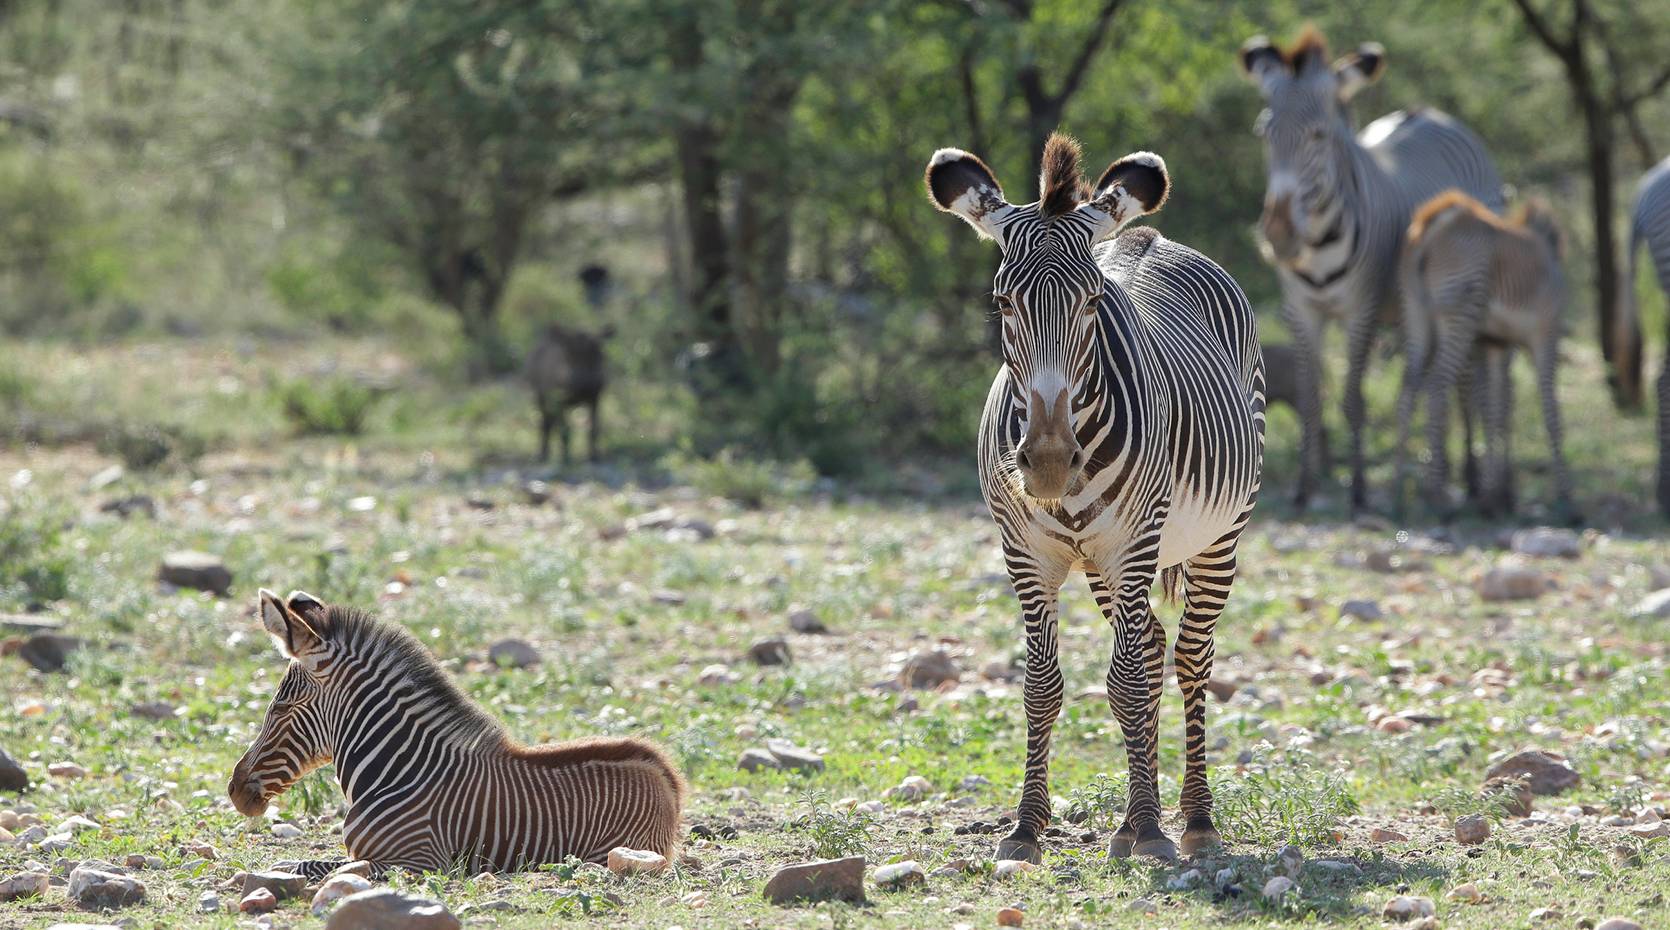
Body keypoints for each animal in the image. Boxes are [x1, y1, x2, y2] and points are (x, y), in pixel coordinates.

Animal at [229, 589, 685, 879]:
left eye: (280, 708)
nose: (234, 790)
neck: (400, 773)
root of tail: (667, 779)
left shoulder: (416, 861)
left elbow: (309, 866)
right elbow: (298, 863)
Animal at [926, 133, 1264, 863]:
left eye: (1091, 302)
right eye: (1003, 304)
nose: (1051, 466)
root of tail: (1146, 236)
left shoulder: (1132, 543)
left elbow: (1128, 682)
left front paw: (1155, 831)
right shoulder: (1025, 553)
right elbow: (1044, 684)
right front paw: (1028, 826)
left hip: (1214, 536)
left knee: (1189, 657)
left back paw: (1193, 818)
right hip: (1107, 565)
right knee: (1152, 645)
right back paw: (1136, 818)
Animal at [1240, 27, 1504, 513]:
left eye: (1319, 135)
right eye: (1264, 132)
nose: (1279, 234)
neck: (1317, 246)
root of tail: (1430, 114)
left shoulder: (1360, 311)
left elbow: (1352, 400)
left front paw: (1360, 489)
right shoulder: (1300, 311)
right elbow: (1311, 398)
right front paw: (1305, 488)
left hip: (1461, 295)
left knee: (1463, 380)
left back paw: (1472, 478)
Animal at [1394, 190, 1573, 518]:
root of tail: (1431, 223)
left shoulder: (1495, 343)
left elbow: (1496, 411)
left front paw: (1497, 495)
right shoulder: (1546, 336)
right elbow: (1550, 411)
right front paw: (1567, 498)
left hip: (1415, 310)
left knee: (1409, 390)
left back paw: (1397, 493)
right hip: (1459, 315)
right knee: (1436, 387)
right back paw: (1436, 496)